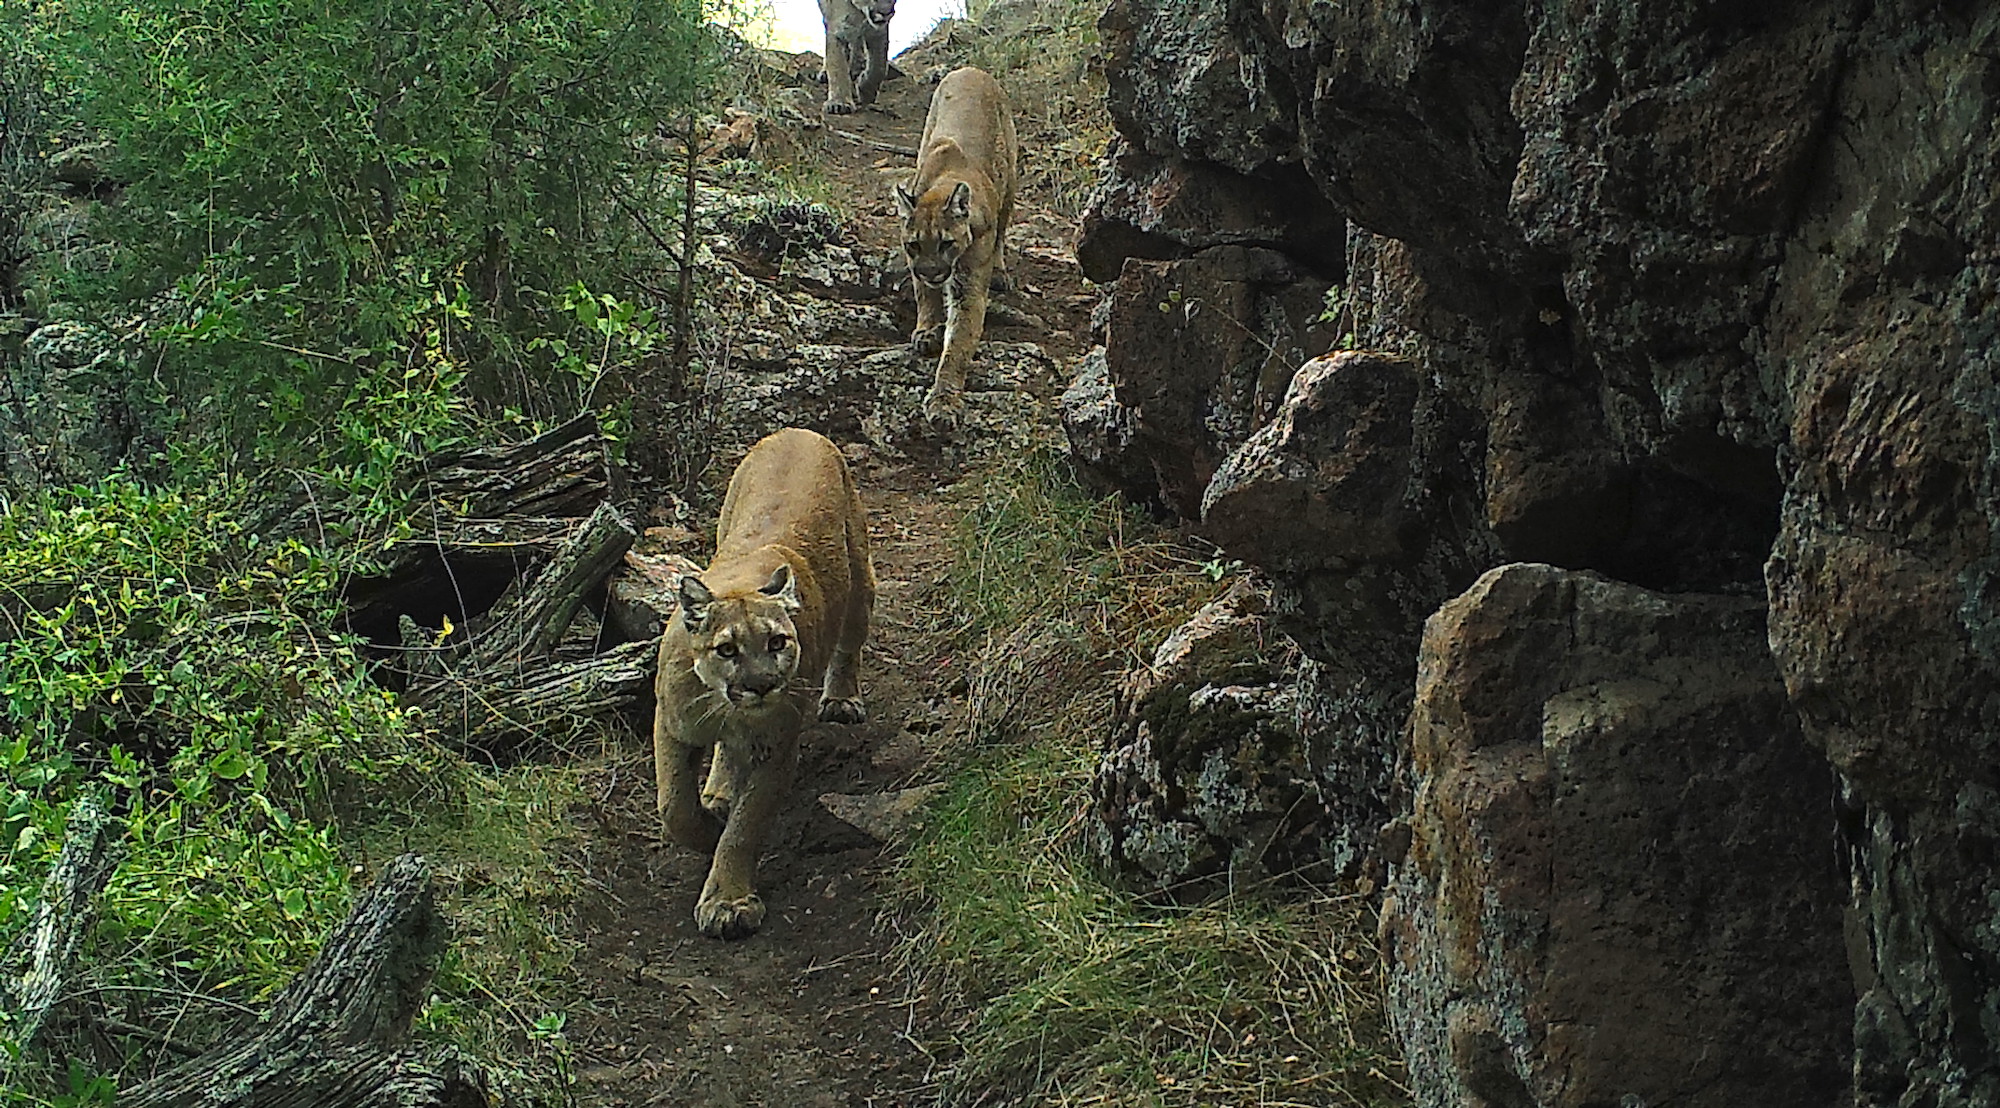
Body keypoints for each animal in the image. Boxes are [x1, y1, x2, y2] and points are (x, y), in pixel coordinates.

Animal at [653, 428, 876, 939]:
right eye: (727, 649)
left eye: (777, 642)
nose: (760, 686)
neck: (726, 705)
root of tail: (797, 431)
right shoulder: (672, 723)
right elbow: (674, 805)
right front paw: (705, 827)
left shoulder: (776, 744)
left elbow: (747, 824)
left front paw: (727, 900)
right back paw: (717, 790)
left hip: (859, 580)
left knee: (849, 643)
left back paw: (840, 700)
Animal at [895, 66, 1019, 426]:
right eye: (914, 246)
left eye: (946, 244)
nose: (931, 272)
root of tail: (971, 69)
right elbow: (924, 296)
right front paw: (927, 330)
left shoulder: (969, 283)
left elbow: (960, 342)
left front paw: (943, 400)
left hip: (1011, 179)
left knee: (1003, 228)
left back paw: (1001, 272)